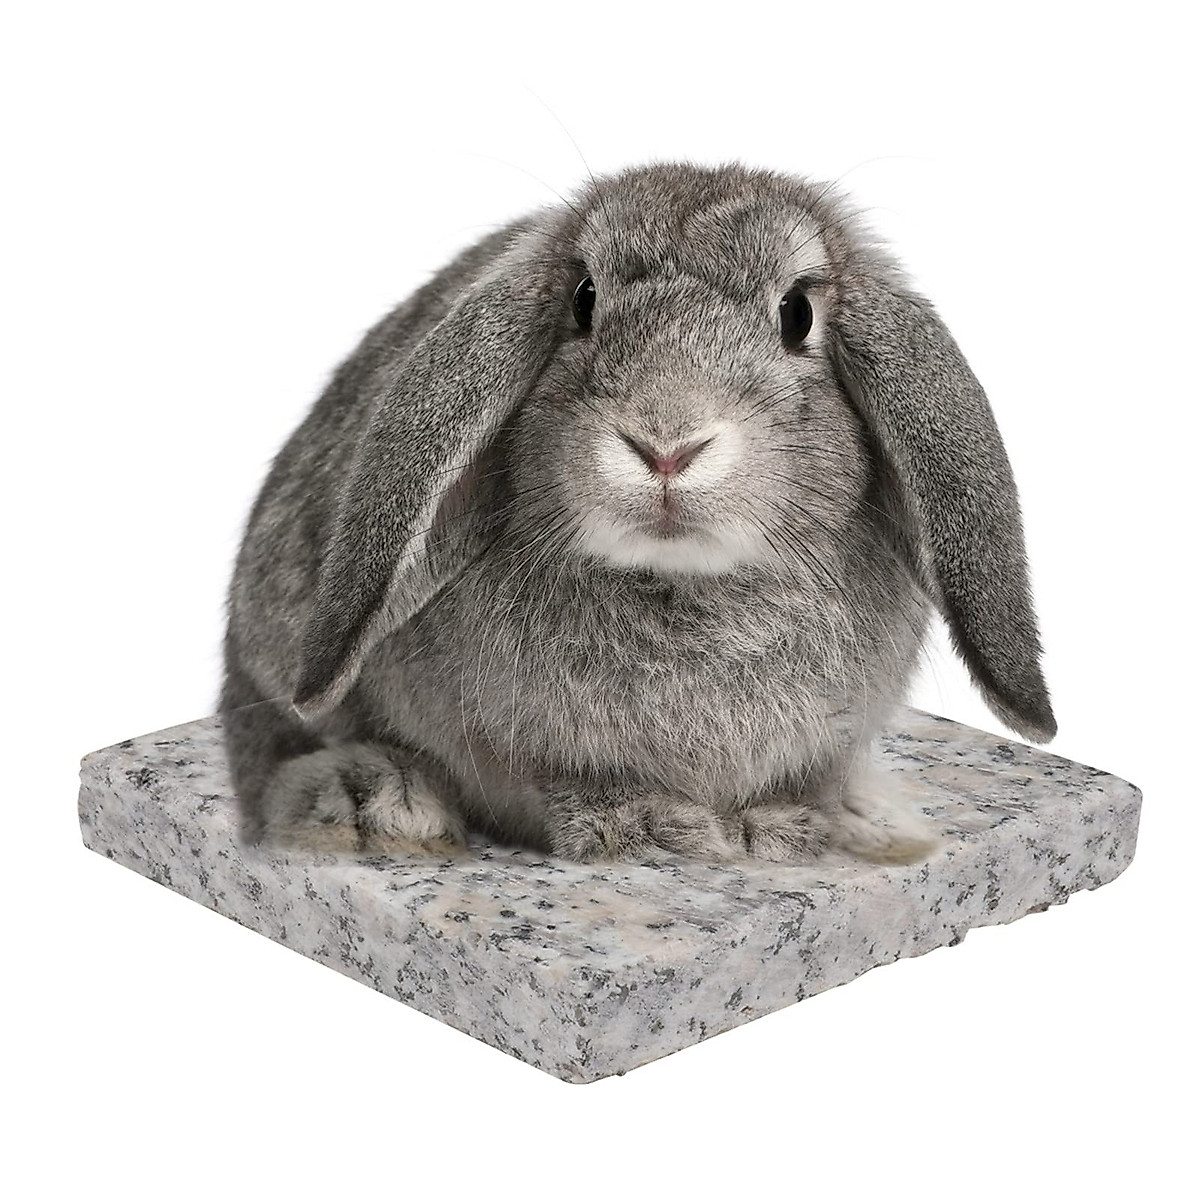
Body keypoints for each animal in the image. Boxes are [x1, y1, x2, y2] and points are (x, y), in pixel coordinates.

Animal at [221, 161, 1055, 866]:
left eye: (798, 314)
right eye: (584, 301)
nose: (666, 445)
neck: (683, 584)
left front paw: (786, 829)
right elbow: (567, 790)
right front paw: (654, 829)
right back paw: (373, 806)